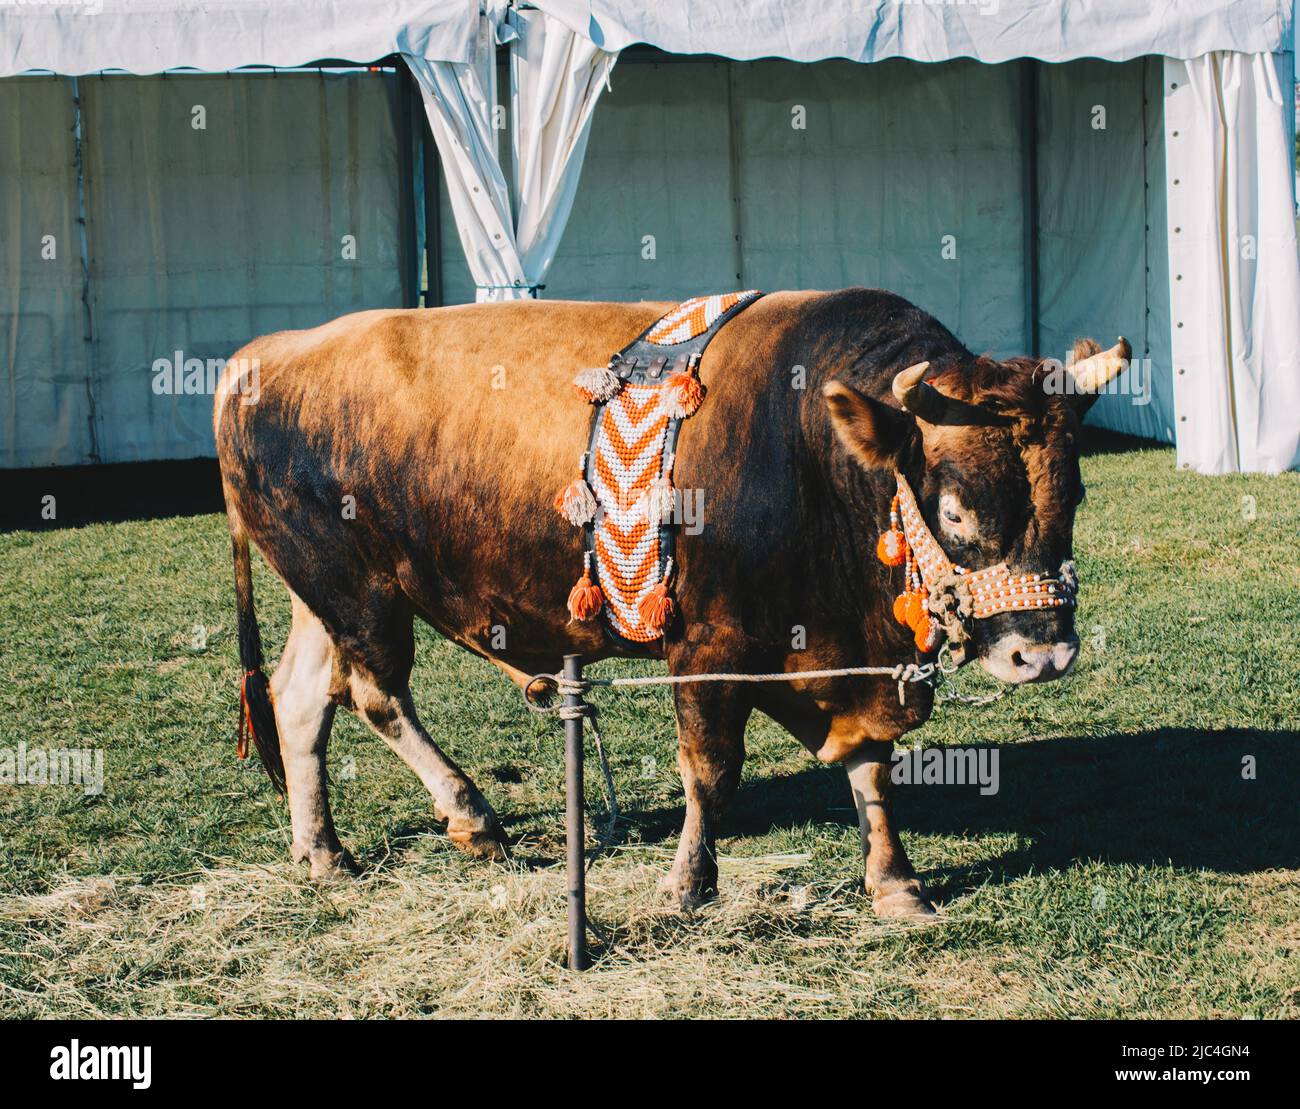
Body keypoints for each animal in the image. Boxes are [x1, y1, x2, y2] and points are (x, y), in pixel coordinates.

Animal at [214, 288, 1128, 918]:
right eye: (957, 511)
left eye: (1076, 494)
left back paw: (322, 850)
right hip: (357, 590)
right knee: (375, 694)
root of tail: (263, 354)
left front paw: (895, 880)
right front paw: (690, 883)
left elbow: (871, 767)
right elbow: (711, 772)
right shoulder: (707, 645)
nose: (1043, 652)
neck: (806, 446)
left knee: (301, 701)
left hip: (319, 596)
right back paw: (470, 813)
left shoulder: (847, 662)